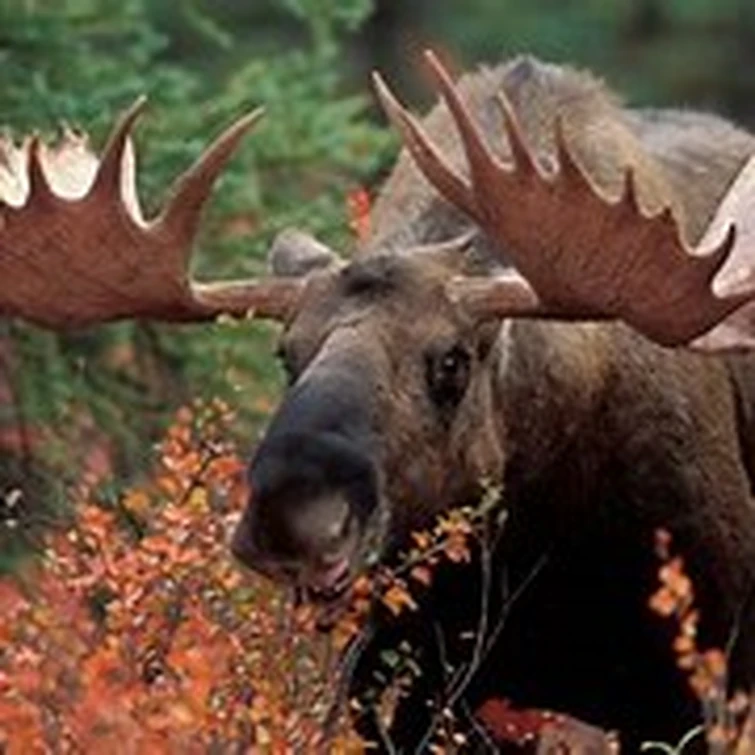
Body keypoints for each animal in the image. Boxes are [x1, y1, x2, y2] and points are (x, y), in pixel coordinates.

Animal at [2, 52, 755, 750]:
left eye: (453, 360)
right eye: (286, 353)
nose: (293, 519)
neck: (537, 544)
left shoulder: (699, 681)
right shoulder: (400, 692)